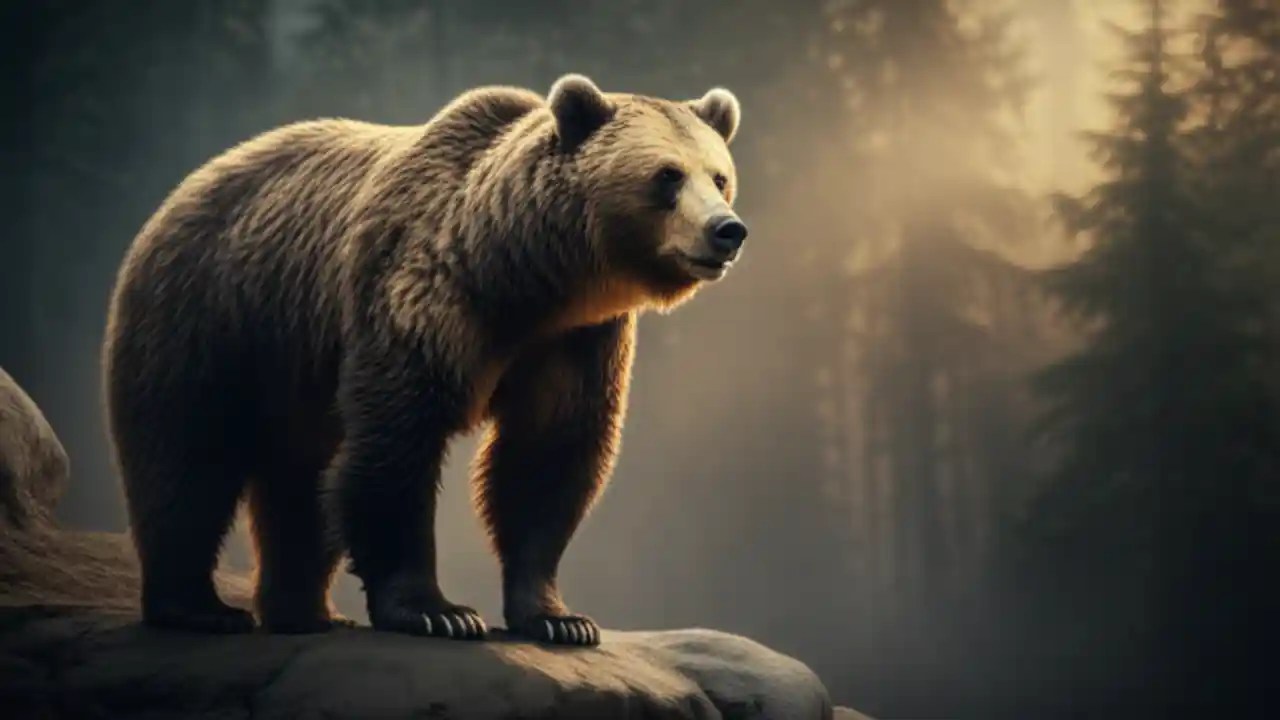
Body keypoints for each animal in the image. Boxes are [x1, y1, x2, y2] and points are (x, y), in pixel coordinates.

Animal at [102, 74, 747, 645]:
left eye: (719, 176)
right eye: (667, 175)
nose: (727, 230)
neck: (524, 277)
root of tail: (187, 185)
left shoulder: (576, 341)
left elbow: (547, 456)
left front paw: (559, 619)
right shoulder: (421, 296)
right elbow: (397, 443)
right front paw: (439, 611)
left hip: (291, 368)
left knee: (298, 480)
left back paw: (304, 611)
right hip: (211, 314)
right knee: (186, 457)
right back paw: (198, 607)